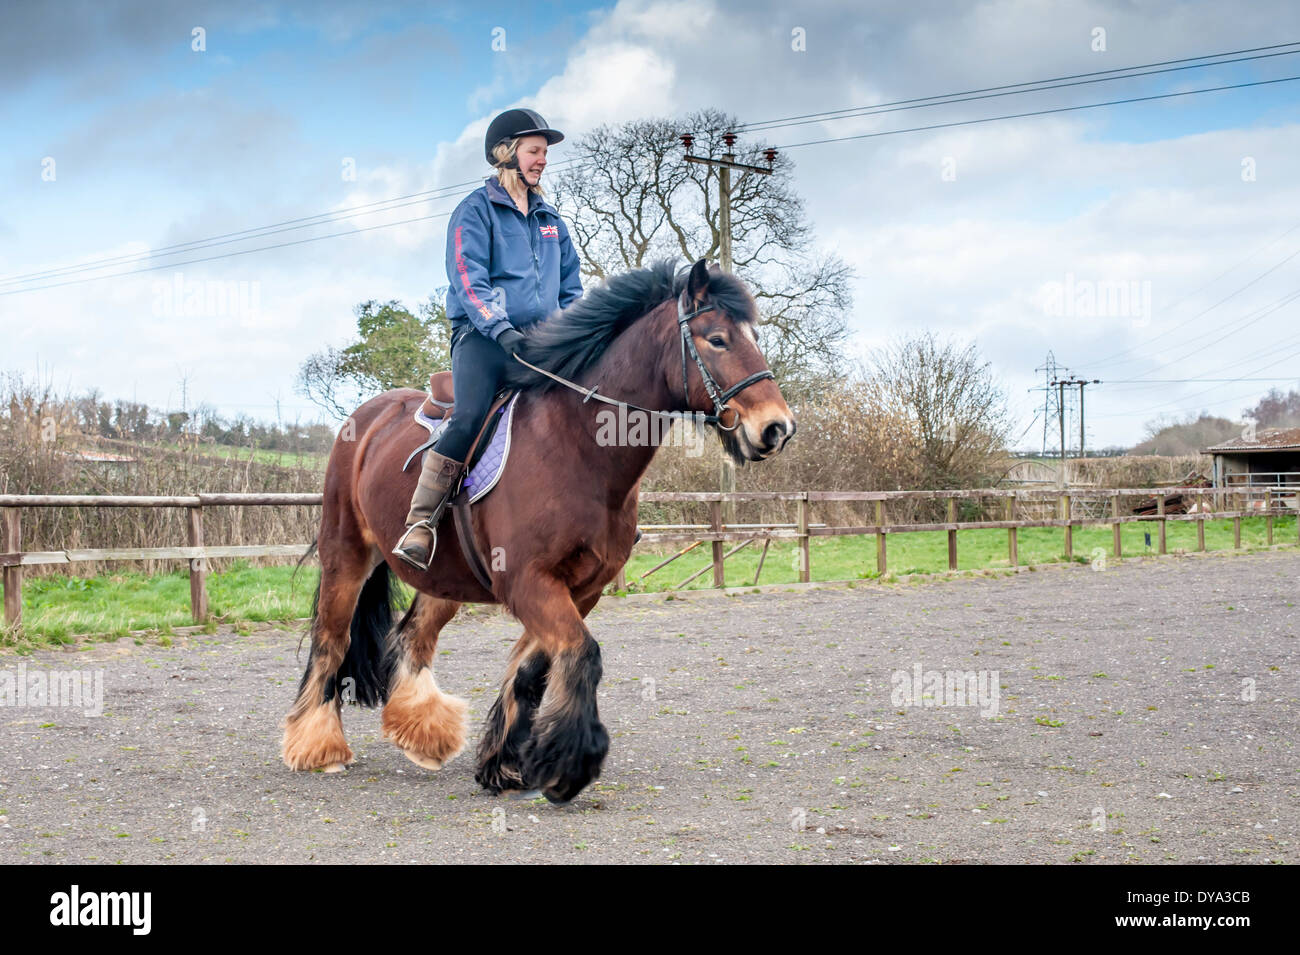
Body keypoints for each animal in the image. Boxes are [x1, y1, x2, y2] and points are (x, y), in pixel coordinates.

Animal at [282, 257, 796, 803]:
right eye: (717, 339)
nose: (777, 427)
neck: (576, 448)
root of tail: (366, 417)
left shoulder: (580, 588)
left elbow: (534, 669)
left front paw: (505, 764)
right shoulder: (530, 582)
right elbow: (581, 654)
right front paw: (569, 765)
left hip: (443, 580)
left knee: (410, 639)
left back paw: (423, 734)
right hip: (346, 555)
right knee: (330, 640)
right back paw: (319, 746)